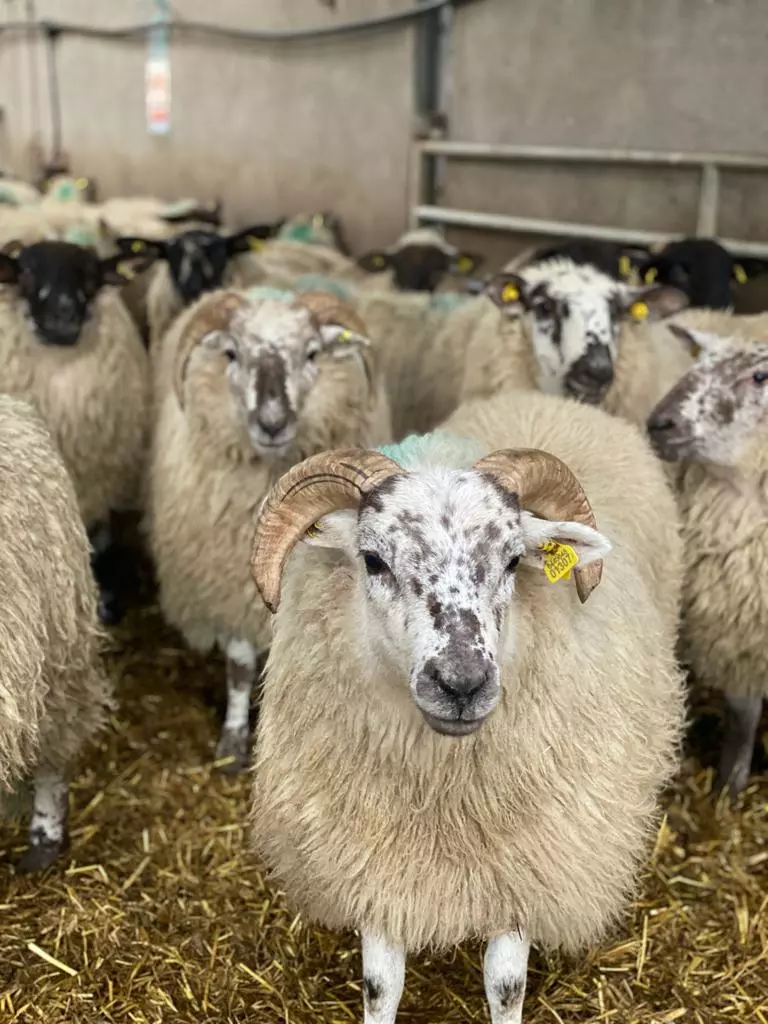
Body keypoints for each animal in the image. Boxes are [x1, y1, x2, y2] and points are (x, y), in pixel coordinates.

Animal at [0, 239, 155, 623]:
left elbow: (100, 544)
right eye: (25, 272)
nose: (63, 313)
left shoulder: (100, 489)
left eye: (90, 276)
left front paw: (107, 601)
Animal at [147, 287, 392, 771]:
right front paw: (234, 739)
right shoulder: (230, 587)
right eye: (232, 353)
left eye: (312, 352)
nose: (273, 422)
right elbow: (240, 666)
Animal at [249, 388, 685, 1024]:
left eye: (513, 561)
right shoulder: (372, 864)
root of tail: (546, 397)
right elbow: (380, 985)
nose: (462, 684)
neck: (442, 797)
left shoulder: (524, 869)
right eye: (373, 561)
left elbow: (505, 986)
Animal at [647, 324, 768, 797]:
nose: (658, 422)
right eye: (697, 362)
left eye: (760, 376)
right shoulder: (738, 635)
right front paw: (731, 785)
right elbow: (743, 715)